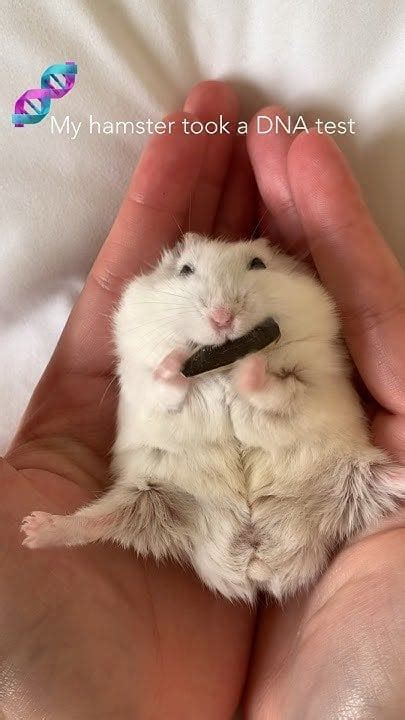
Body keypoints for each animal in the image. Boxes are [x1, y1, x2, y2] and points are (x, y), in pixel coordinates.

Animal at [21, 233, 404, 602]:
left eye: (257, 263)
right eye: (185, 270)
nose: (222, 318)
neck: (221, 364)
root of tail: (256, 567)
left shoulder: (306, 380)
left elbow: (277, 392)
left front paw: (249, 369)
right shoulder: (150, 385)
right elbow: (167, 387)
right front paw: (181, 361)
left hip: (355, 472)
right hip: (148, 496)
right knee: (94, 524)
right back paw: (33, 530)